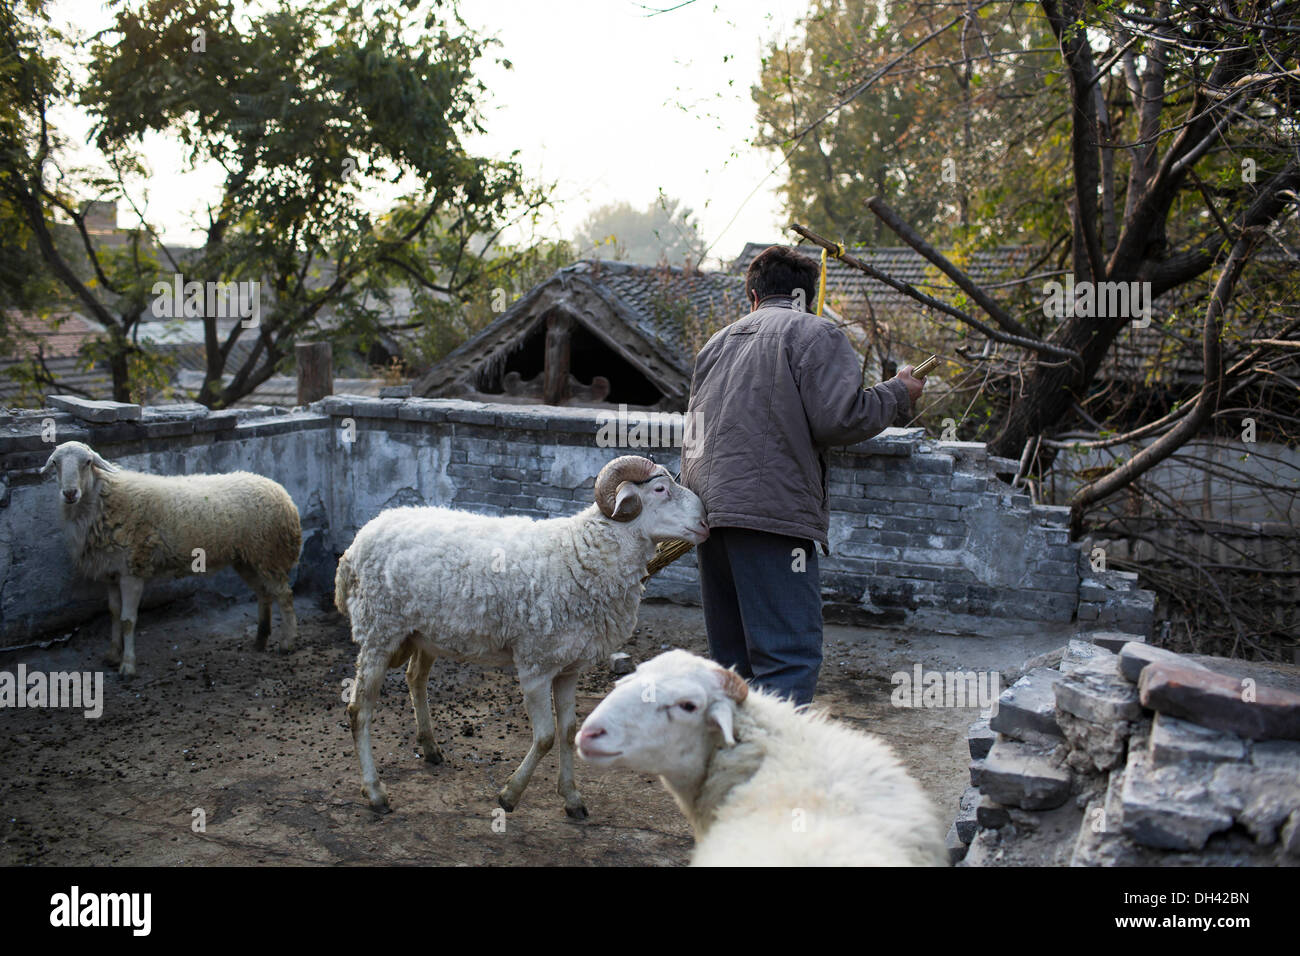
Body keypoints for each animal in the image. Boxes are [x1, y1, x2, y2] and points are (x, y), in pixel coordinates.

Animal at [41, 441, 302, 677]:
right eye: (54, 463)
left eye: (87, 462)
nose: (70, 493)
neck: (103, 502)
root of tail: (280, 491)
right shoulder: (110, 572)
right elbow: (113, 613)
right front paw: (113, 655)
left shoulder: (133, 570)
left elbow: (127, 620)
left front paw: (128, 666)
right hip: (247, 558)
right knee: (264, 593)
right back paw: (260, 639)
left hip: (269, 554)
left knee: (284, 595)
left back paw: (287, 642)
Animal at [334, 454, 709, 817]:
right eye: (660, 489)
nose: (705, 522)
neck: (581, 553)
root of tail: (356, 543)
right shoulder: (535, 664)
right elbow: (544, 737)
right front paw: (509, 795)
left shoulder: (569, 668)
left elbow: (568, 732)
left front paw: (572, 798)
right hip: (379, 631)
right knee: (359, 710)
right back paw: (375, 792)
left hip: (423, 633)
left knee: (415, 678)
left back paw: (429, 748)